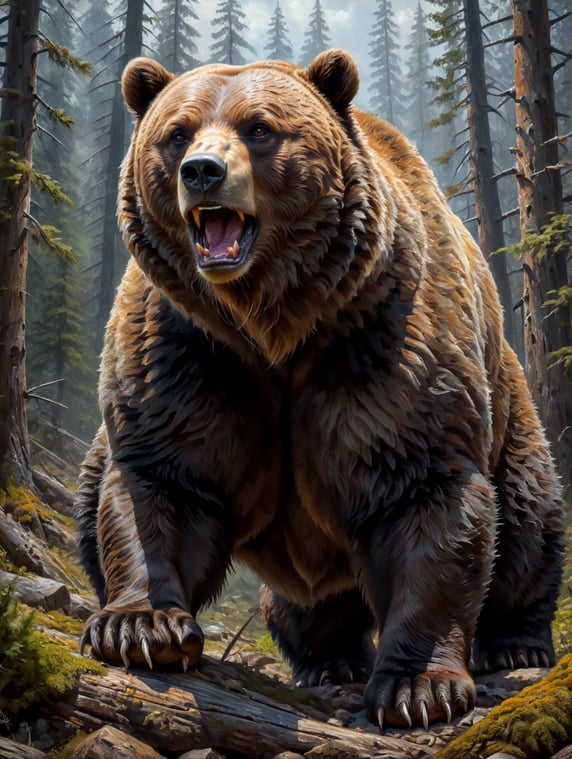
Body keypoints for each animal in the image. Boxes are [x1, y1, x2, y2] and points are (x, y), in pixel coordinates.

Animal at [75, 48, 565, 730]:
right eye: (176, 133)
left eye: (259, 128)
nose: (202, 172)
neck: (273, 322)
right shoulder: (189, 349)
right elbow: (163, 481)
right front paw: (141, 628)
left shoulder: (382, 340)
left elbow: (423, 492)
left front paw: (418, 687)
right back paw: (327, 658)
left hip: (509, 400)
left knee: (526, 517)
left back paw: (515, 642)